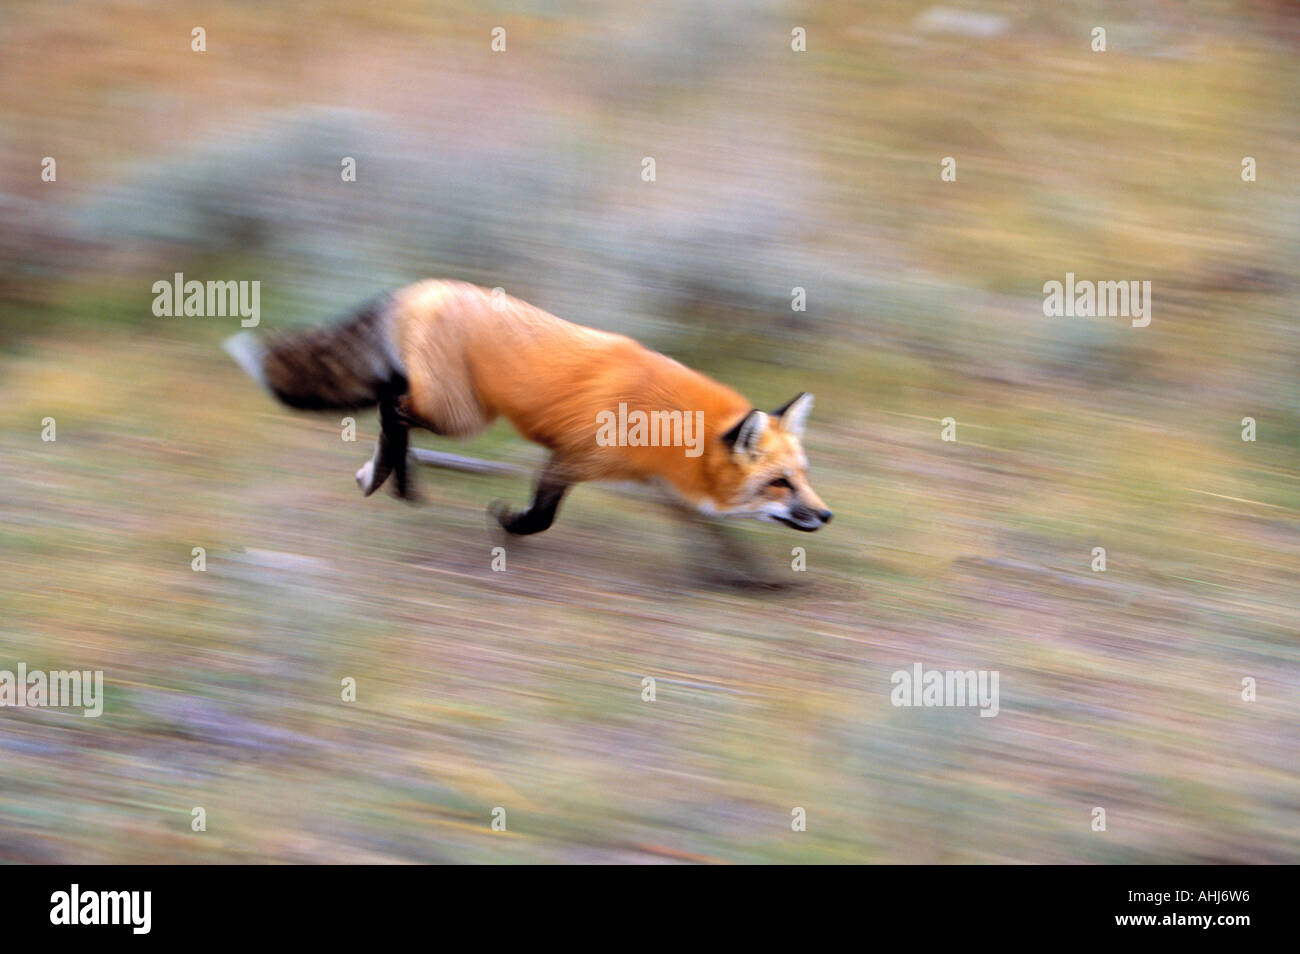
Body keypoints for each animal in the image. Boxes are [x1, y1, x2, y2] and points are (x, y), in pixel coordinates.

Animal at [223, 279, 832, 538]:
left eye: (803, 477)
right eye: (779, 483)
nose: (825, 515)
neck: (667, 423)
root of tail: (425, 286)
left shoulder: (663, 487)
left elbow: (717, 543)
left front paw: (750, 583)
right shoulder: (570, 458)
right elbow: (542, 515)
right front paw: (509, 524)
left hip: (447, 406)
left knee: (388, 401)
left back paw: (391, 477)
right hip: (461, 417)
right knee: (389, 404)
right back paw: (391, 478)